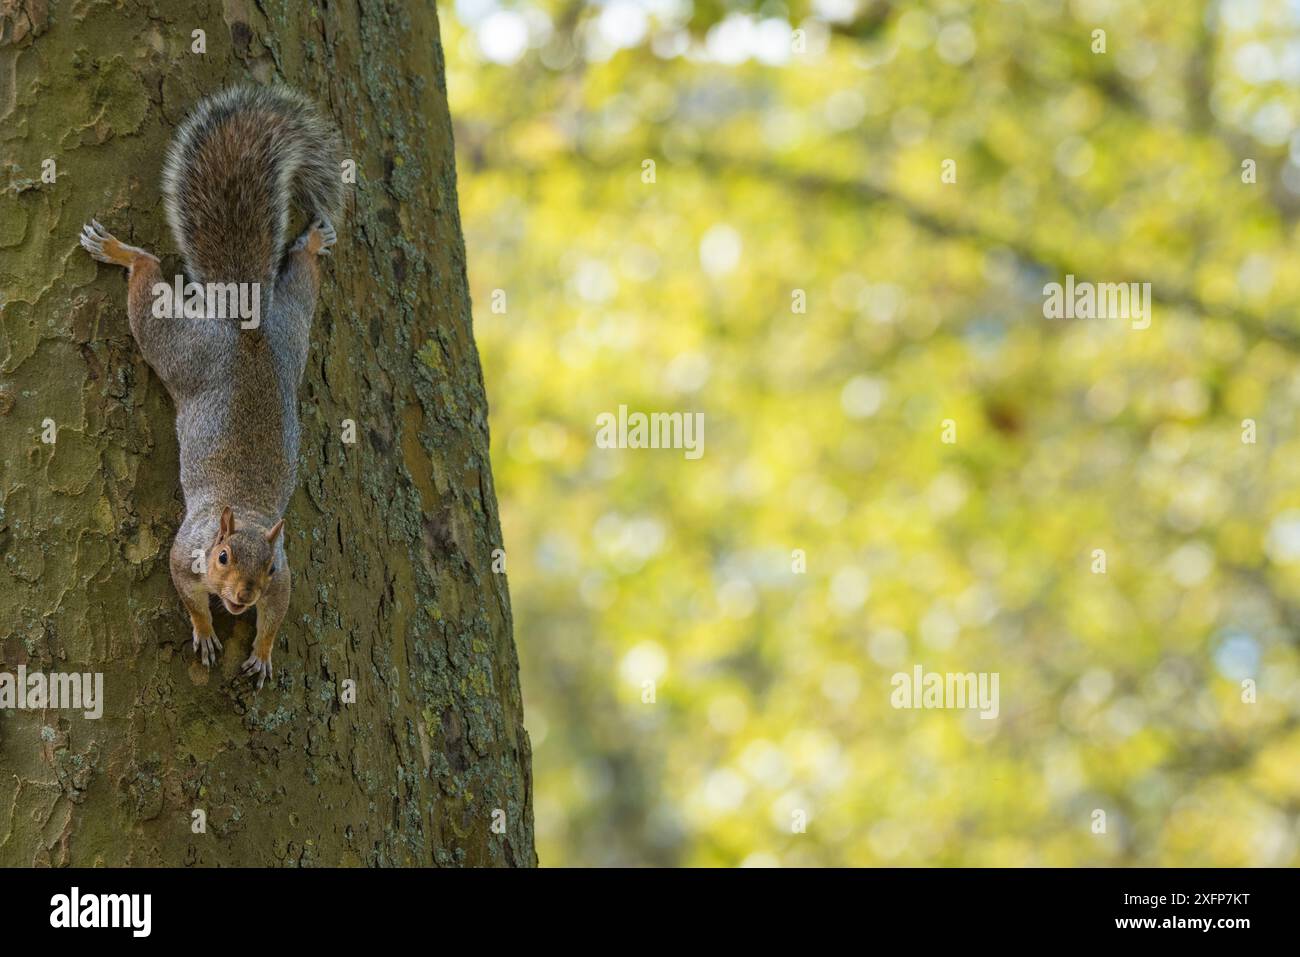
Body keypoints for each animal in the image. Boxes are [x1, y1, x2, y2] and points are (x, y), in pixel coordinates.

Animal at [80, 85, 343, 689]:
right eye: (221, 558)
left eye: (267, 566)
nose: (242, 598)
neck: (242, 513)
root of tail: (245, 325)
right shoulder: (184, 556)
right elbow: (187, 594)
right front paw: (203, 631)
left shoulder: (284, 579)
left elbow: (278, 613)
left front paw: (263, 652)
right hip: (180, 348)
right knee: (147, 275)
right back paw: (119, 251)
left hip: (292, 328)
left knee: (300, 280)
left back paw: (313, 242)